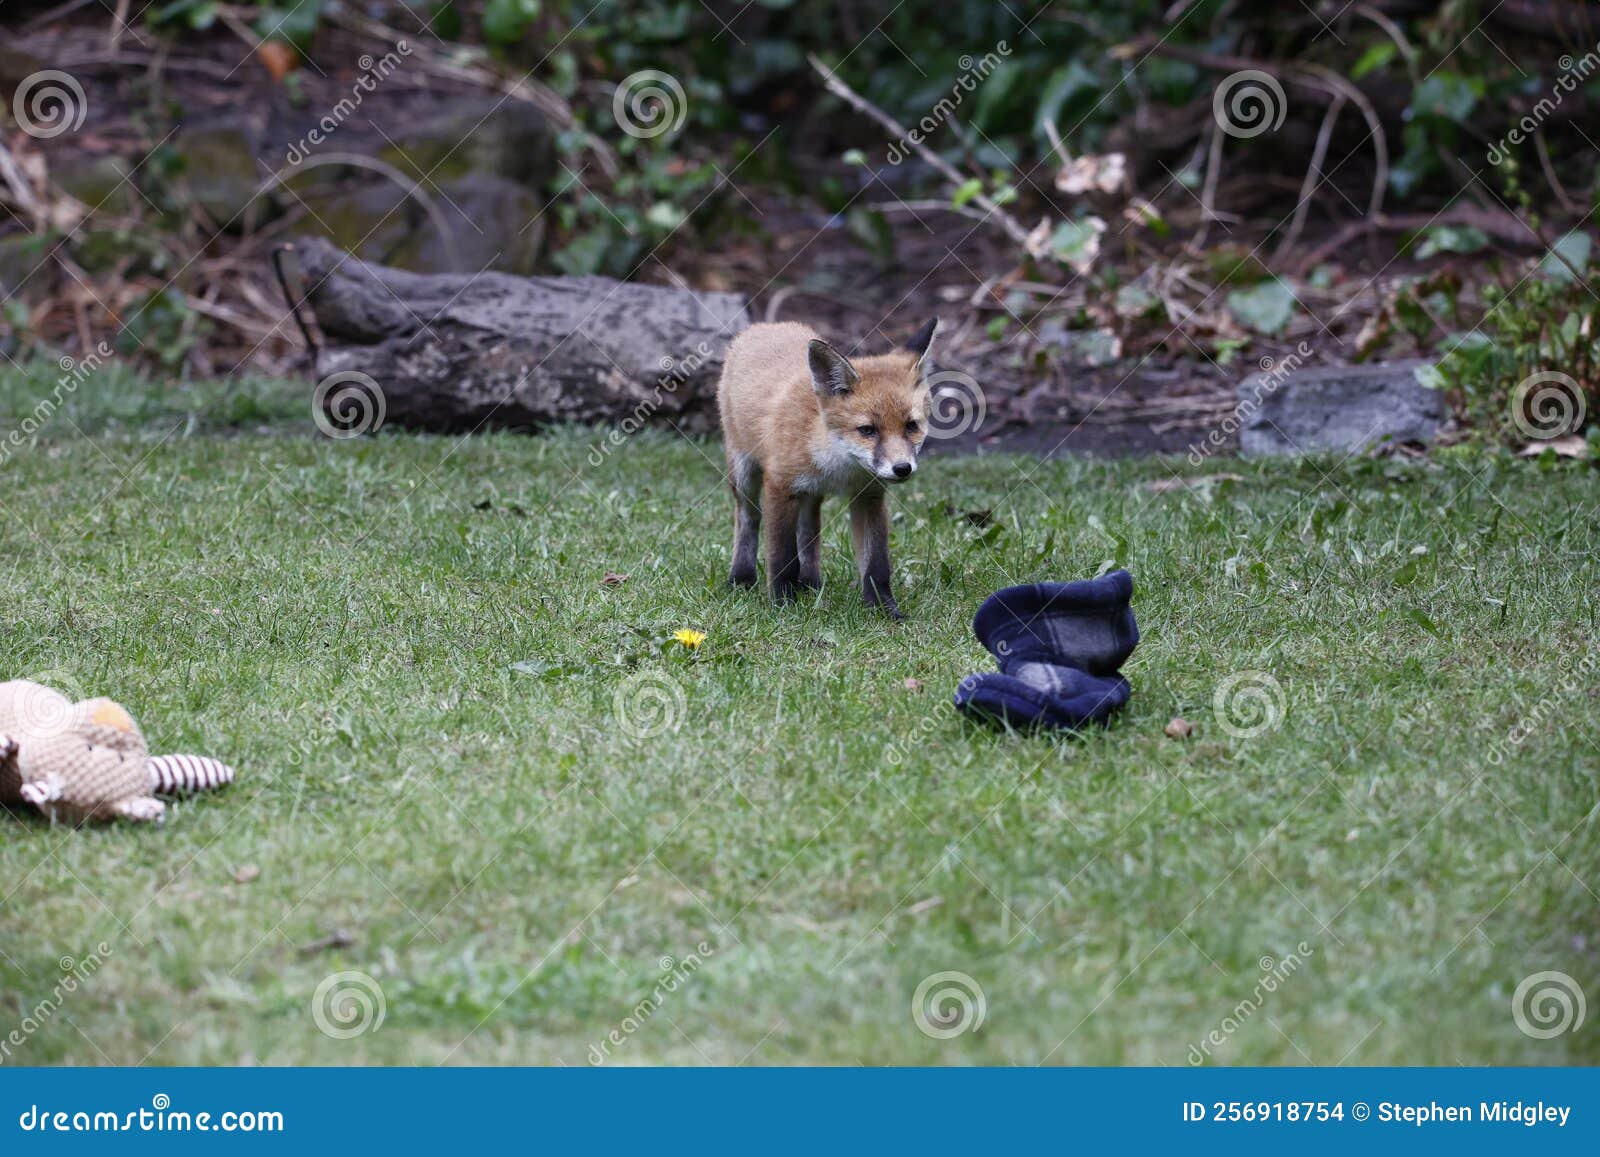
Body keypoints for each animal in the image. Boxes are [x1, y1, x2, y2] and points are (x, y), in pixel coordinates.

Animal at [716, 317, 939, 619]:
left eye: (911, 425)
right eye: (867, 430)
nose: (902, 468)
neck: (838, 466)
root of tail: (767, 324)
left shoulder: (868, 495)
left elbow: (877, 564)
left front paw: (884, 608)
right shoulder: (780, 486)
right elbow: (782, 557)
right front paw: (783, 605)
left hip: (810, 496)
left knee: (808, 531)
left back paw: (810, 582)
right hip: (744, 473)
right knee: (748, 519)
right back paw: (741, 578)